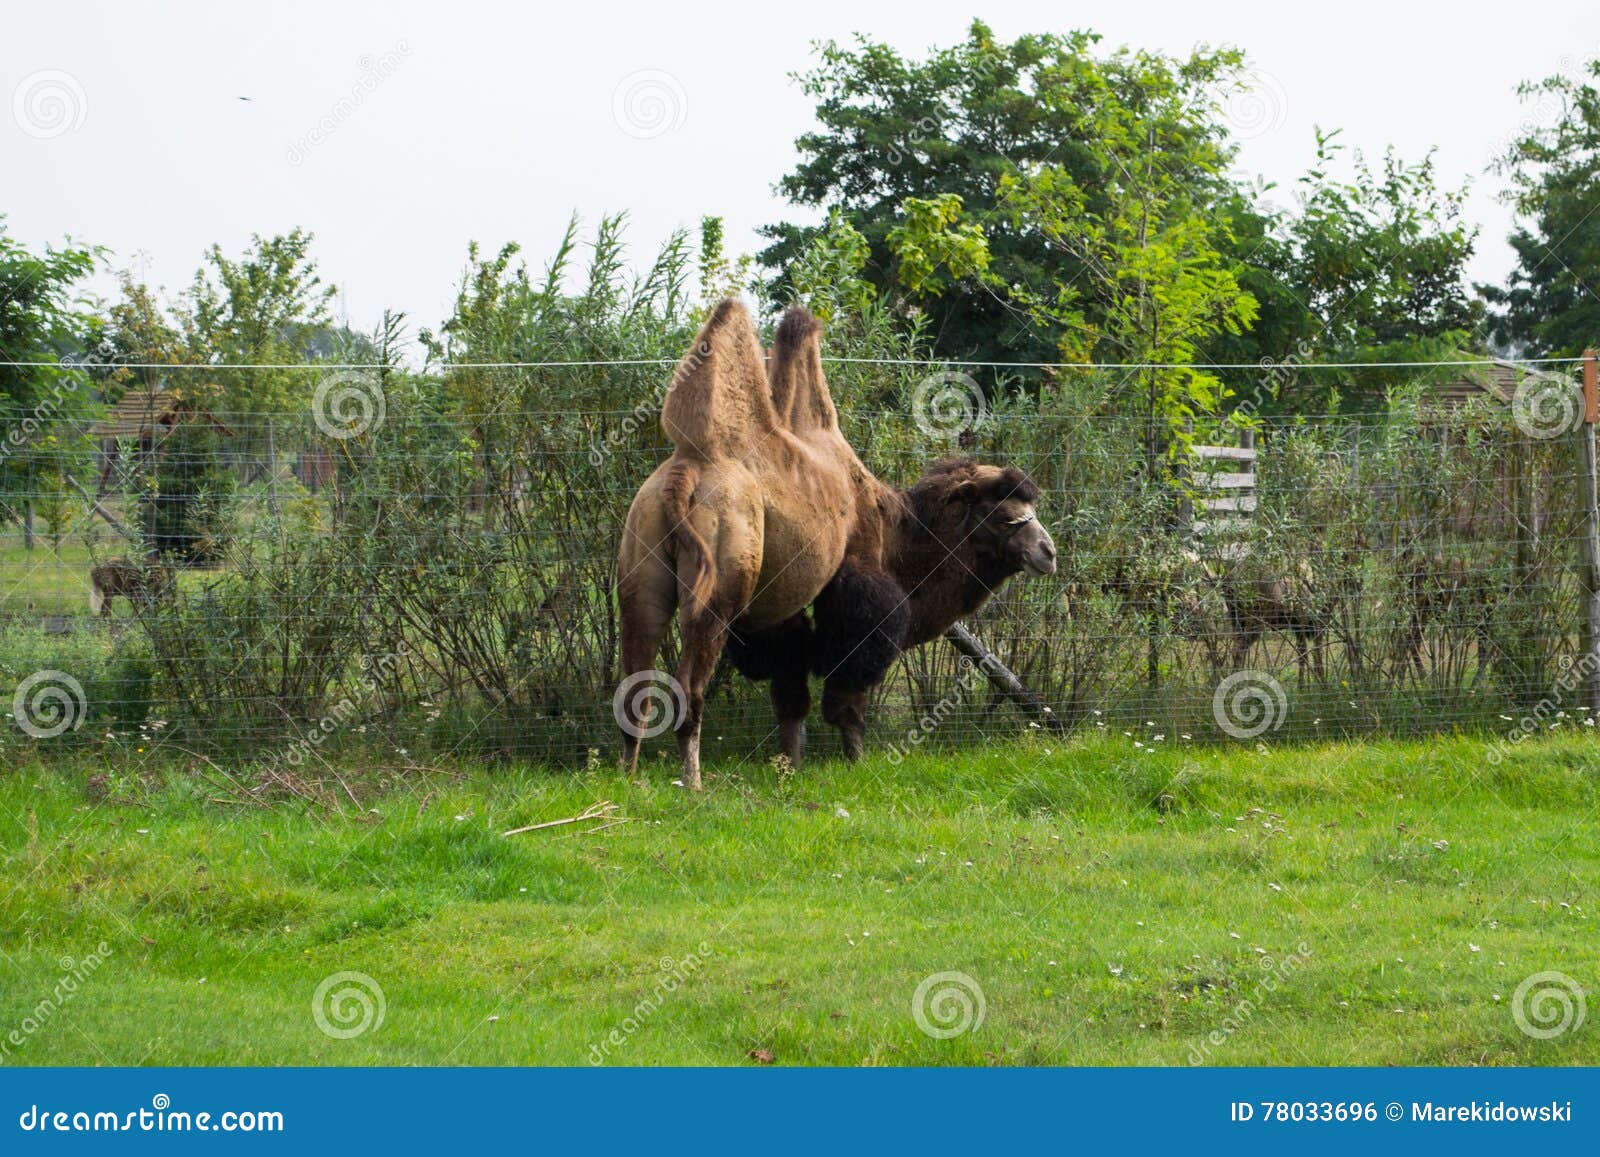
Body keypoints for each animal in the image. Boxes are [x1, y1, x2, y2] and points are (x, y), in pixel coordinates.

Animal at [616, 300, 1056, 789]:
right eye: (1004, 515)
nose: (1048, 552)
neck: (896, 530)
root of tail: (683, 472)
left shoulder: (780, 608)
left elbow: (789, 693)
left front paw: (789, 767)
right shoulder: (859, 590)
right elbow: (847, 693)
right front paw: (856, 762)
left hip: (641, 554)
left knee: (636, 677)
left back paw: (627, 776)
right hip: (720, 576)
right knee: (690, 686)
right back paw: (693, 783)